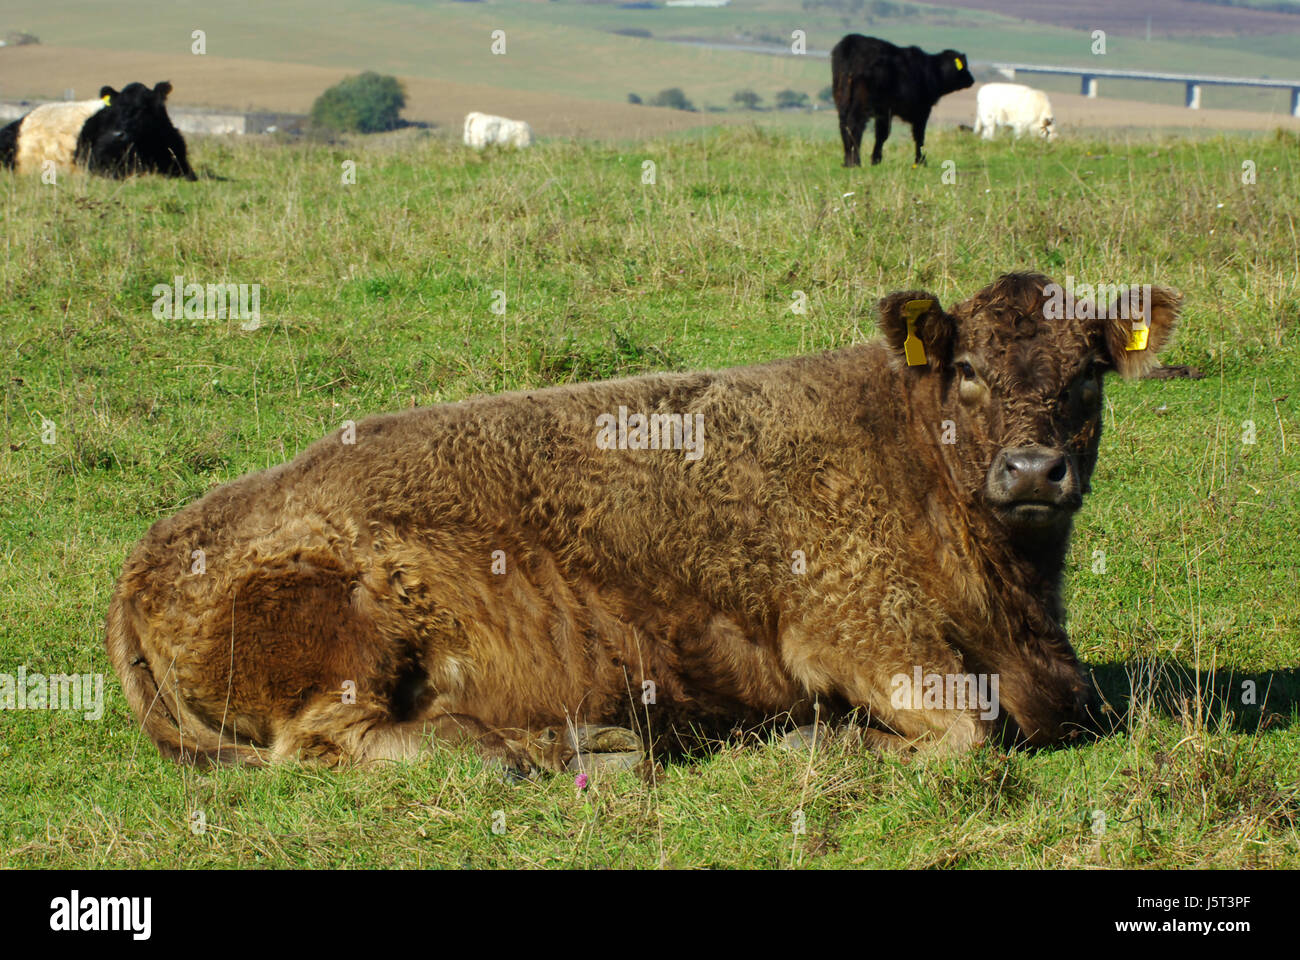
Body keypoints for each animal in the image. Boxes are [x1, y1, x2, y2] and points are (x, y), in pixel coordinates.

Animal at [105, 273, 1181, 776]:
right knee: (335, 741)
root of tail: (148, 553)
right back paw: (552, 753)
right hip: (352, 636)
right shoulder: (862, 634)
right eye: (967, 370)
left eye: (1088, 375)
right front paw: (808, 743)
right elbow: (970, 730)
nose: (1032, 469)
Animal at [831, 34, 974, 167]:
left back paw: (847, 161)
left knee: (843, 126)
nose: (972, 79)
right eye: (965, 66)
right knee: (854, 126)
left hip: (842, 99)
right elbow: (918, 137)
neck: (932, 71)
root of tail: (851, 43)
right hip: (861, 103)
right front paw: (920, 161)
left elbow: (881, 135)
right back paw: (855, 162)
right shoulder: (921, 111)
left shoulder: (884, 112)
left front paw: (876, 160)